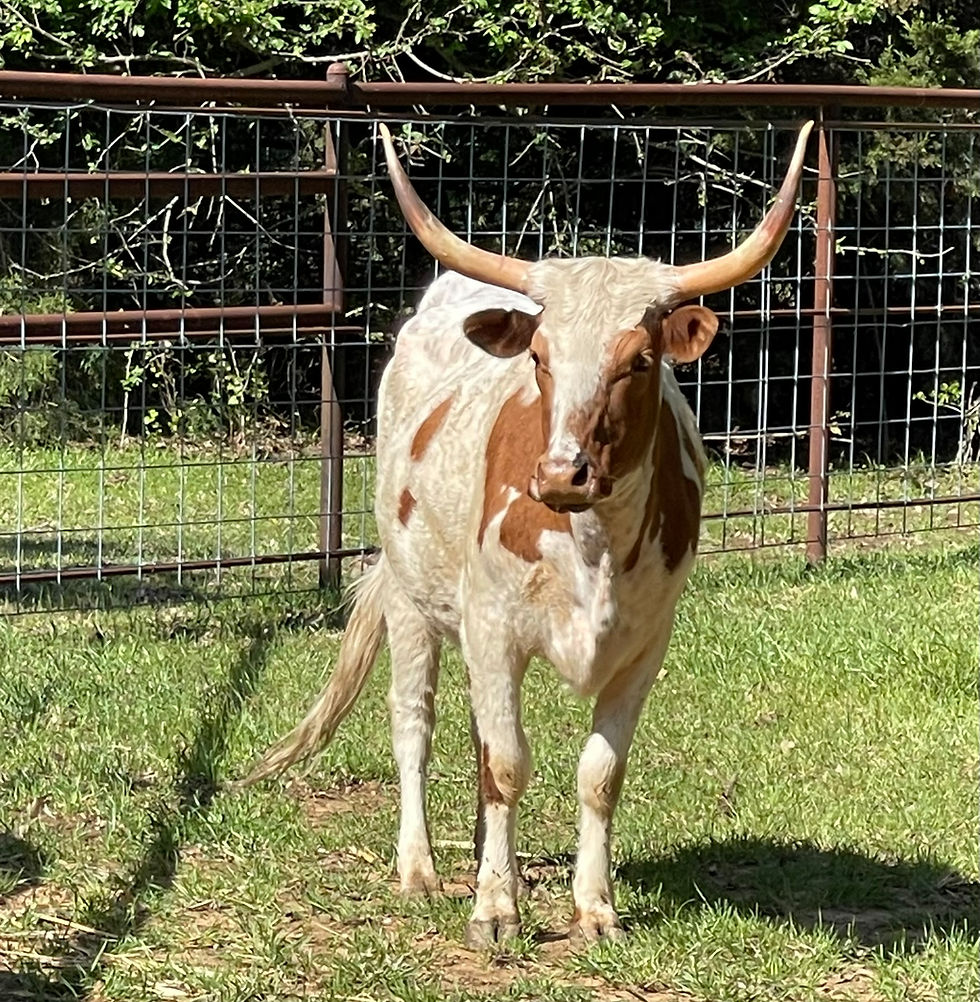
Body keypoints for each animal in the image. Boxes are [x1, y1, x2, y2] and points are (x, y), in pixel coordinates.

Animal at [245, 121, 812, 947]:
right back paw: (422, 868)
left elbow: (598, 774)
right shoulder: (492, 627)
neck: (593, 545)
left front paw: (593, 907)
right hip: (414, 602)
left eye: (639, 360)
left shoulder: (647, 643)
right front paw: (494, 909)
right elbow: (507, 763)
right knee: (416, 723)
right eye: (541, 358)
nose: (560, 473)